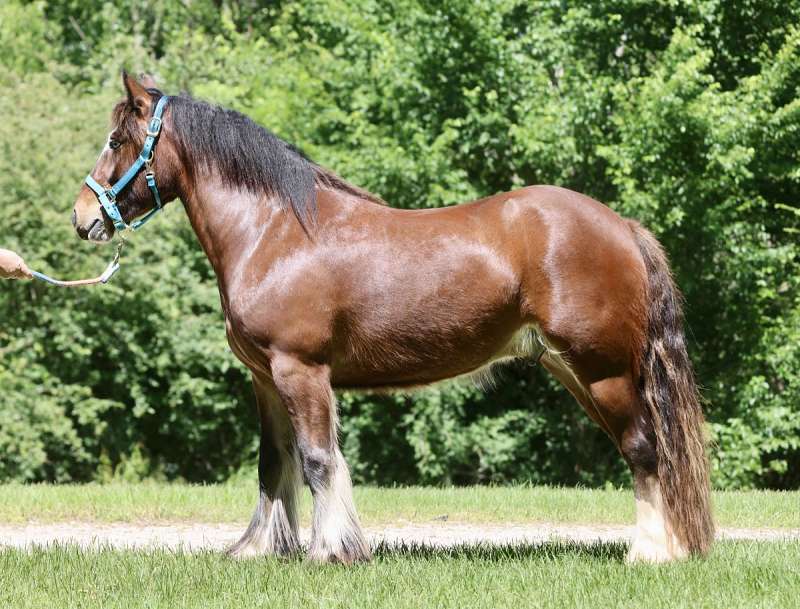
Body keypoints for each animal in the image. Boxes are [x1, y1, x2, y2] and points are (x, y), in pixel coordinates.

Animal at [71, 73, 713, 564]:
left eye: (116, 139)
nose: (82, 217)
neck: (273, 232)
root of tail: (621, 226)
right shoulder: (264, 378)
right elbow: (273, 463)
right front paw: (258, 551)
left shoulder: (300, 370)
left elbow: (318, 460)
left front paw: (331, 551)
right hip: (576, 371)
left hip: (604, 372)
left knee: (644, 450)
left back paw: (650, 554)